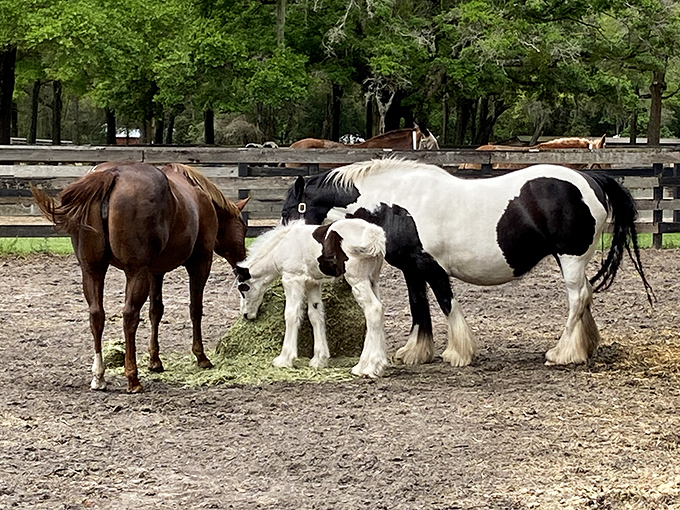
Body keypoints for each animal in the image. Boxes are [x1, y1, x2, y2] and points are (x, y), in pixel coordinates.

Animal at [31, 161, 250, 393]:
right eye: (243, 228)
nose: (243, 268)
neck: (201, 199)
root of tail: (112, 174)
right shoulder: (199, 264)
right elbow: (195, 310)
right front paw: (201, 357)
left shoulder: (155, 271)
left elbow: (156, 311)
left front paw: (154, 360)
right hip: (135, 272)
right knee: (129, 316)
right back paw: (132, 378)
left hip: (93, 270)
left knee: (96, 315)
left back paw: (99, 376)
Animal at [235, 218, 388, 378]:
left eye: (242, 288)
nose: (245, 315)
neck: (283, 245)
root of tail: (374, 235)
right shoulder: (312, 283)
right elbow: (315, 315)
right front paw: (319, 359)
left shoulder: (292, 279)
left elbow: (291, 314)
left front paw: (284, 359)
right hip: (373, 280)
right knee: (378, 311)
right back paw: (373, 365)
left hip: (357, 280)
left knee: (373, 310)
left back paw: (368, 367)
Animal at [281, 158, 653, 369]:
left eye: (290, 210)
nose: (288, 244)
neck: (395, 203)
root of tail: (591, 181)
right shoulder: (412, 269)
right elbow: (419, 308)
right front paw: (416, 352)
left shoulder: (430, 267)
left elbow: (447, 304)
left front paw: (458, 353)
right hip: (574, 261)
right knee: (586, 295)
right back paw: (582, 348)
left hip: (571, 258)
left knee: (577, 299)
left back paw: (561, 353)